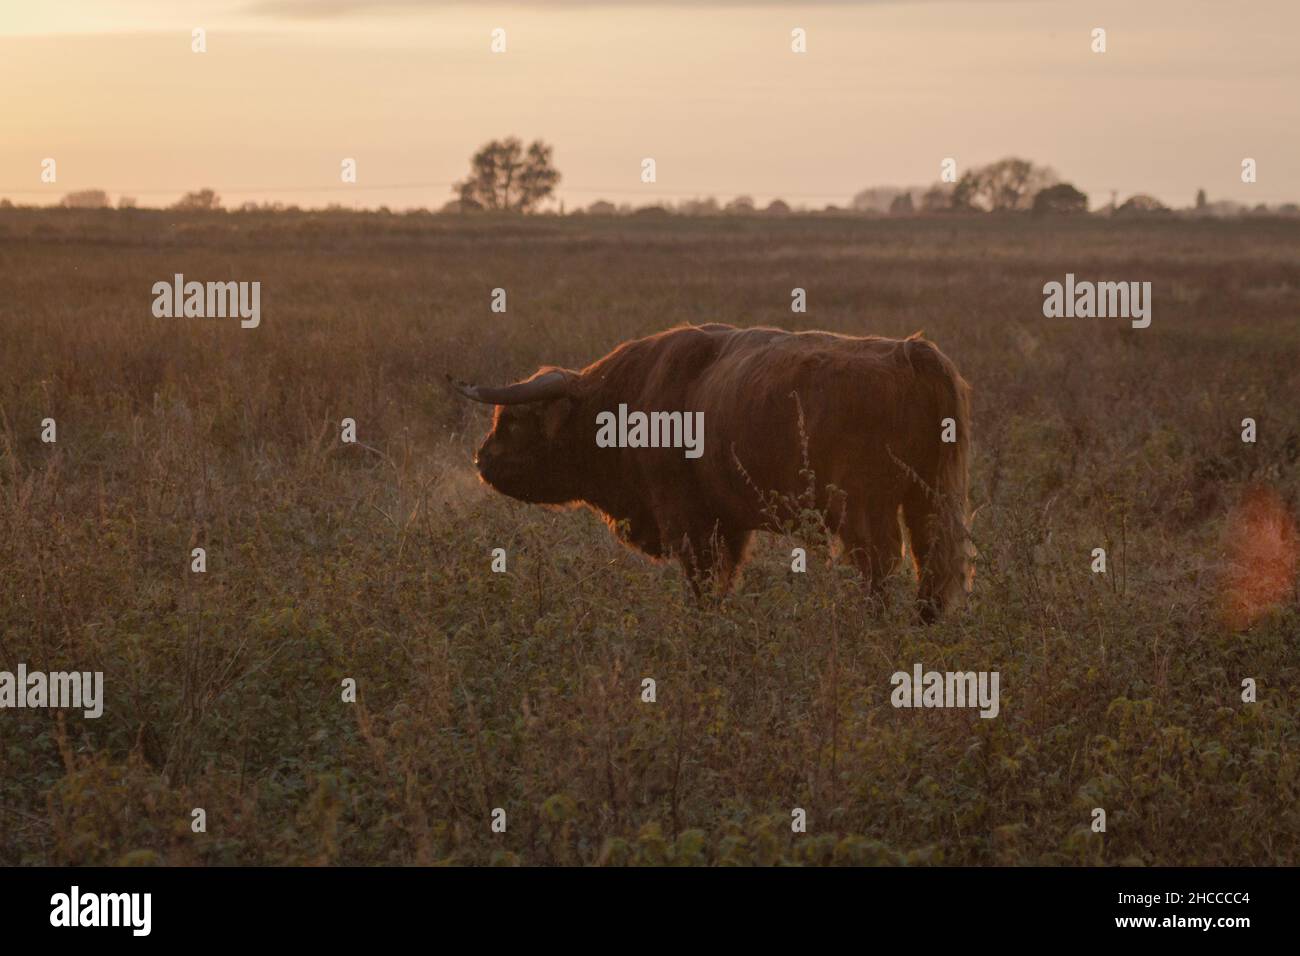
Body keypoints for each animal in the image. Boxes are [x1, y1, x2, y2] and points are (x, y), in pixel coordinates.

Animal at [450, 323, 972, 621]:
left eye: (513, 421)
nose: (481, 460)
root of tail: (912, 353)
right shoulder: (730, 522)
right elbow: (723, 579)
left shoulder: (686, 518)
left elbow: (702, 582)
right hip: (929, 498)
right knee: (933, 561)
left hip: (865, 507)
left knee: (881, 565)